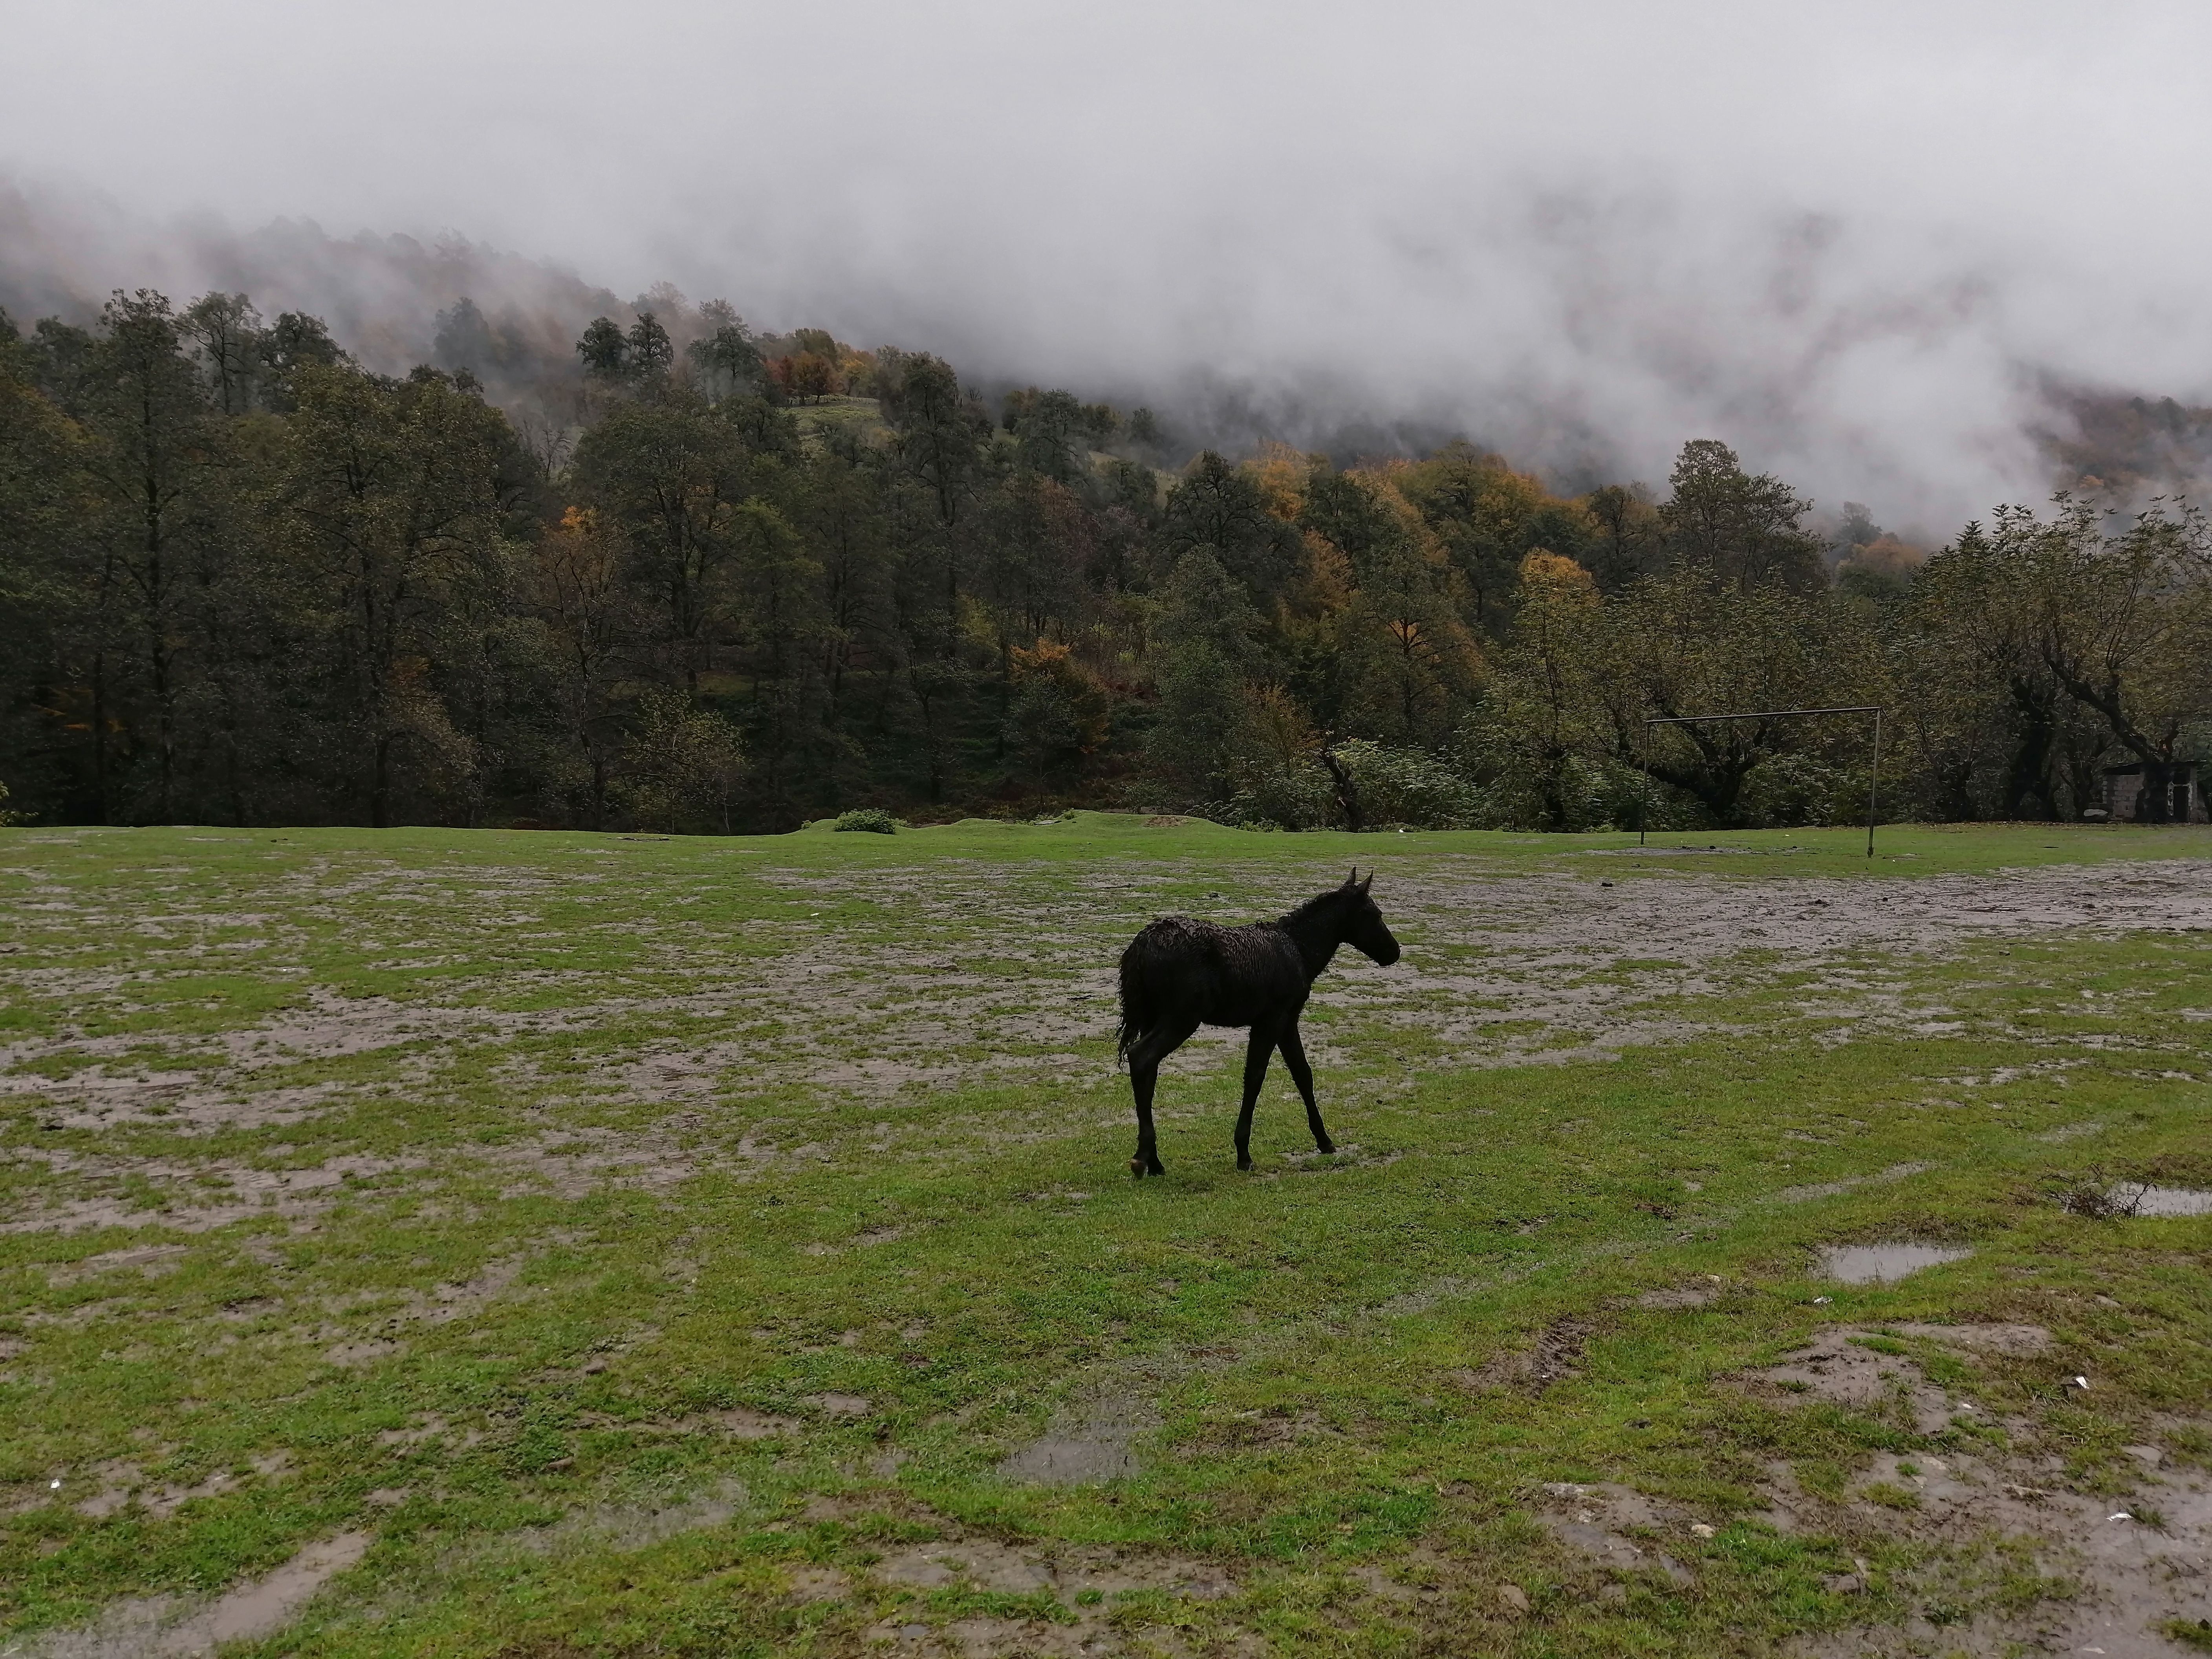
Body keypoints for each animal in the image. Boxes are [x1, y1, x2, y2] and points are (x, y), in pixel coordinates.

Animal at [1115, 869, 1401, 1176]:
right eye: (1375, 914)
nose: (1394, 952)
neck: (1299, 949)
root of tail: (1140, 947)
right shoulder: (1272, 1019)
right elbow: (1255, 1077)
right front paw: (1244, 1154)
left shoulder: (1288, 1022)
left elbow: (1302, 1074)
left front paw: (1324, 1140)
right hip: (1181, 1019)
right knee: (1141, 1056)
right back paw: (1143, 1159)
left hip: (1154, 1018)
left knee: (1148, 1071)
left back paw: (1154, 1160)